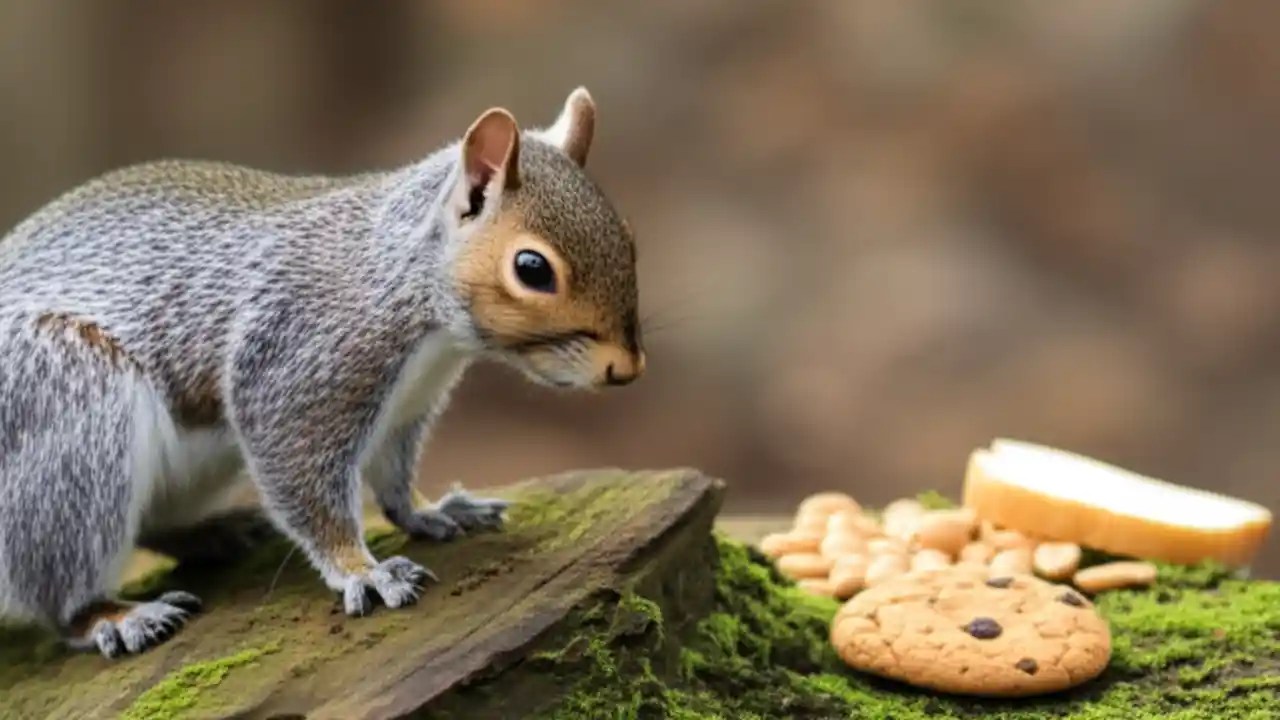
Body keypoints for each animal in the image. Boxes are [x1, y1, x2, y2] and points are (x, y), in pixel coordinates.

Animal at [0, 87, 644, 659]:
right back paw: (112, 615)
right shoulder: (299, 362)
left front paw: (430, 510)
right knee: (55, 587)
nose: (628, 368)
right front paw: (362, 570)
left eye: (629, 241)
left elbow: (394, 478)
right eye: (532, 268)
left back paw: (216, 533)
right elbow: (306, 482)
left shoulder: (406, 406)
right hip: (70, 402)